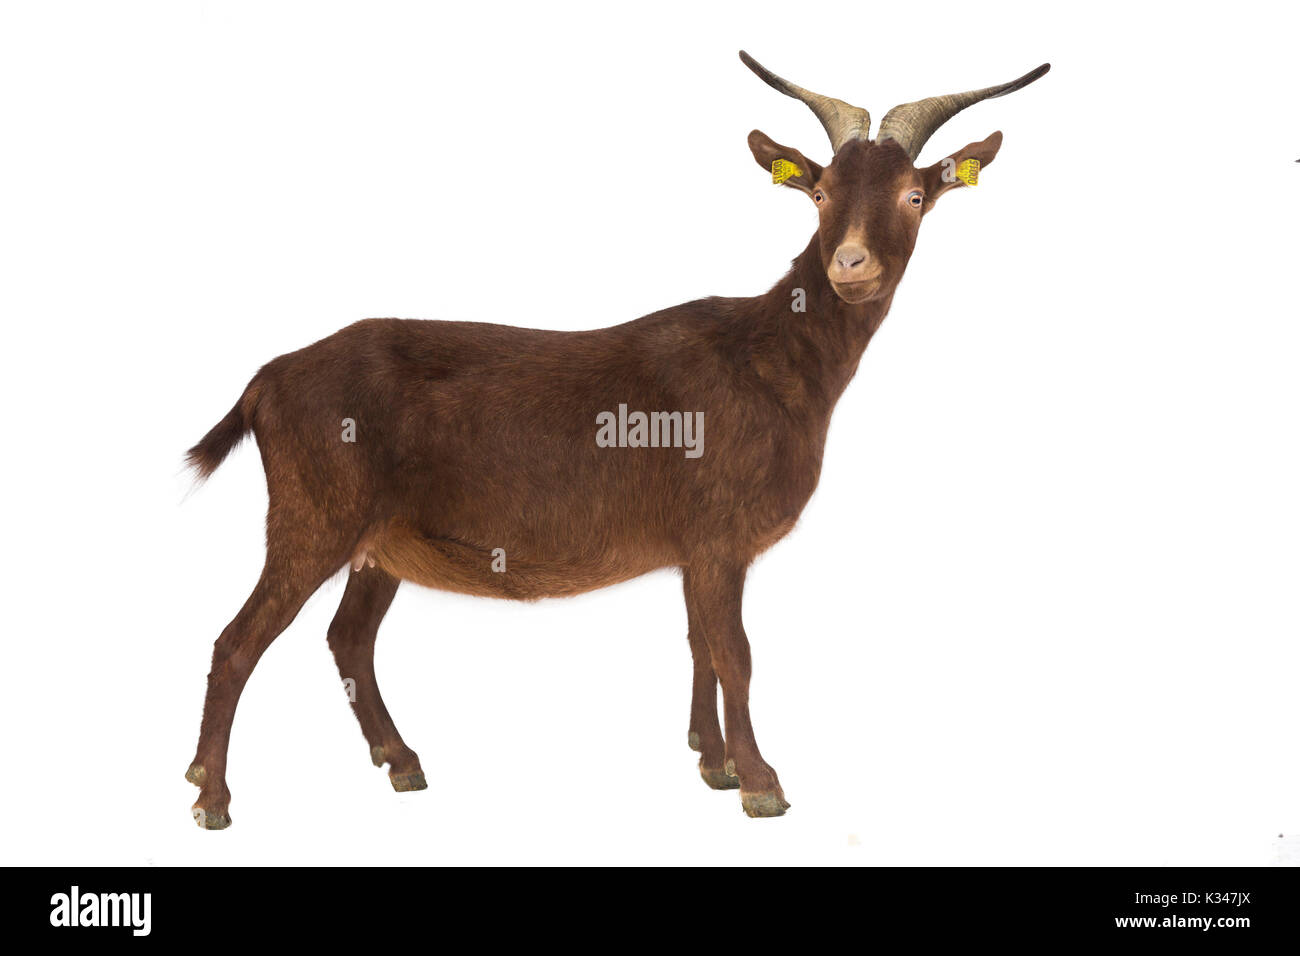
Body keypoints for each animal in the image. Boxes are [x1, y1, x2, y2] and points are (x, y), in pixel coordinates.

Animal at [185, 51, 1048, 827]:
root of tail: (266, 380)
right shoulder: (719, 536)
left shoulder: (696, 546)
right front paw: (762, 784)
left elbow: (701, 643)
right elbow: (736, 652)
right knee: (237, 641)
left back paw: (399, 763)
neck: (769, 356)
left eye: (914, 193)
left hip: (382, 539)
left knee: (348, 638)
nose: (850, 264)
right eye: (820, 192)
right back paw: (212, 796)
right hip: (314, 515)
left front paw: (713, 763)